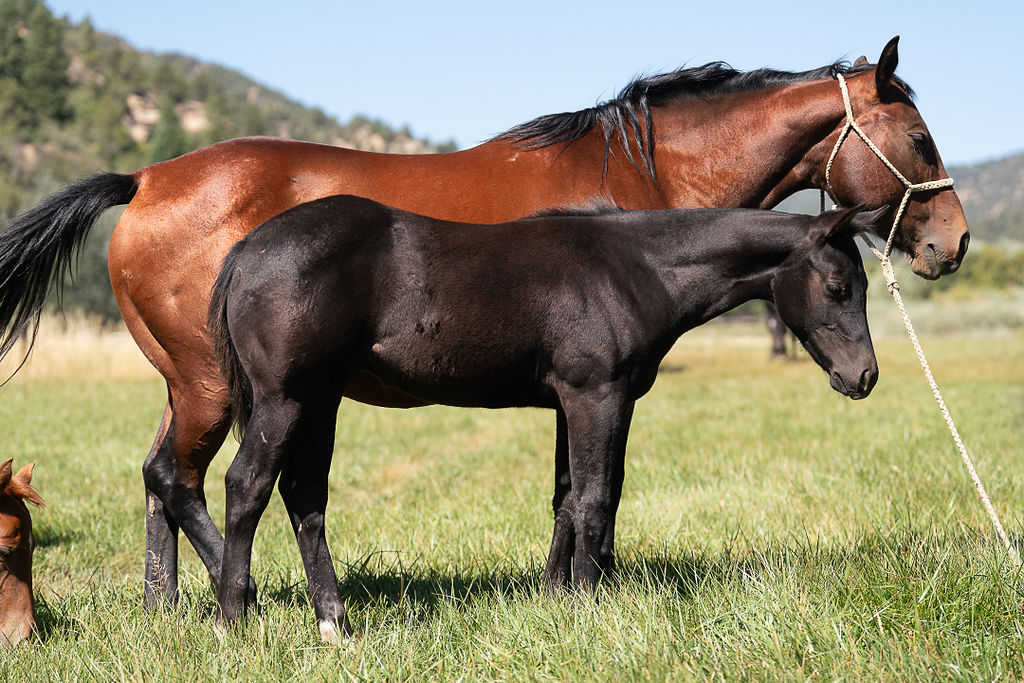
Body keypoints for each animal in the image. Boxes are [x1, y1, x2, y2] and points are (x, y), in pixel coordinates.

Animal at [207, 197, 882, 638]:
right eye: (839, 286)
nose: (864, 377)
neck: (635, 268)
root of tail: (245, 249)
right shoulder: (596, 395)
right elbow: (595, 497)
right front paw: (588, 605)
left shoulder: (578, 400)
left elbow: (568, 496)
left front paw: (557, 596)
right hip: (285, 399)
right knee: (248, 485)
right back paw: (234, 622)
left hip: (321, 398)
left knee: (305, 496)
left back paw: (334, 624)